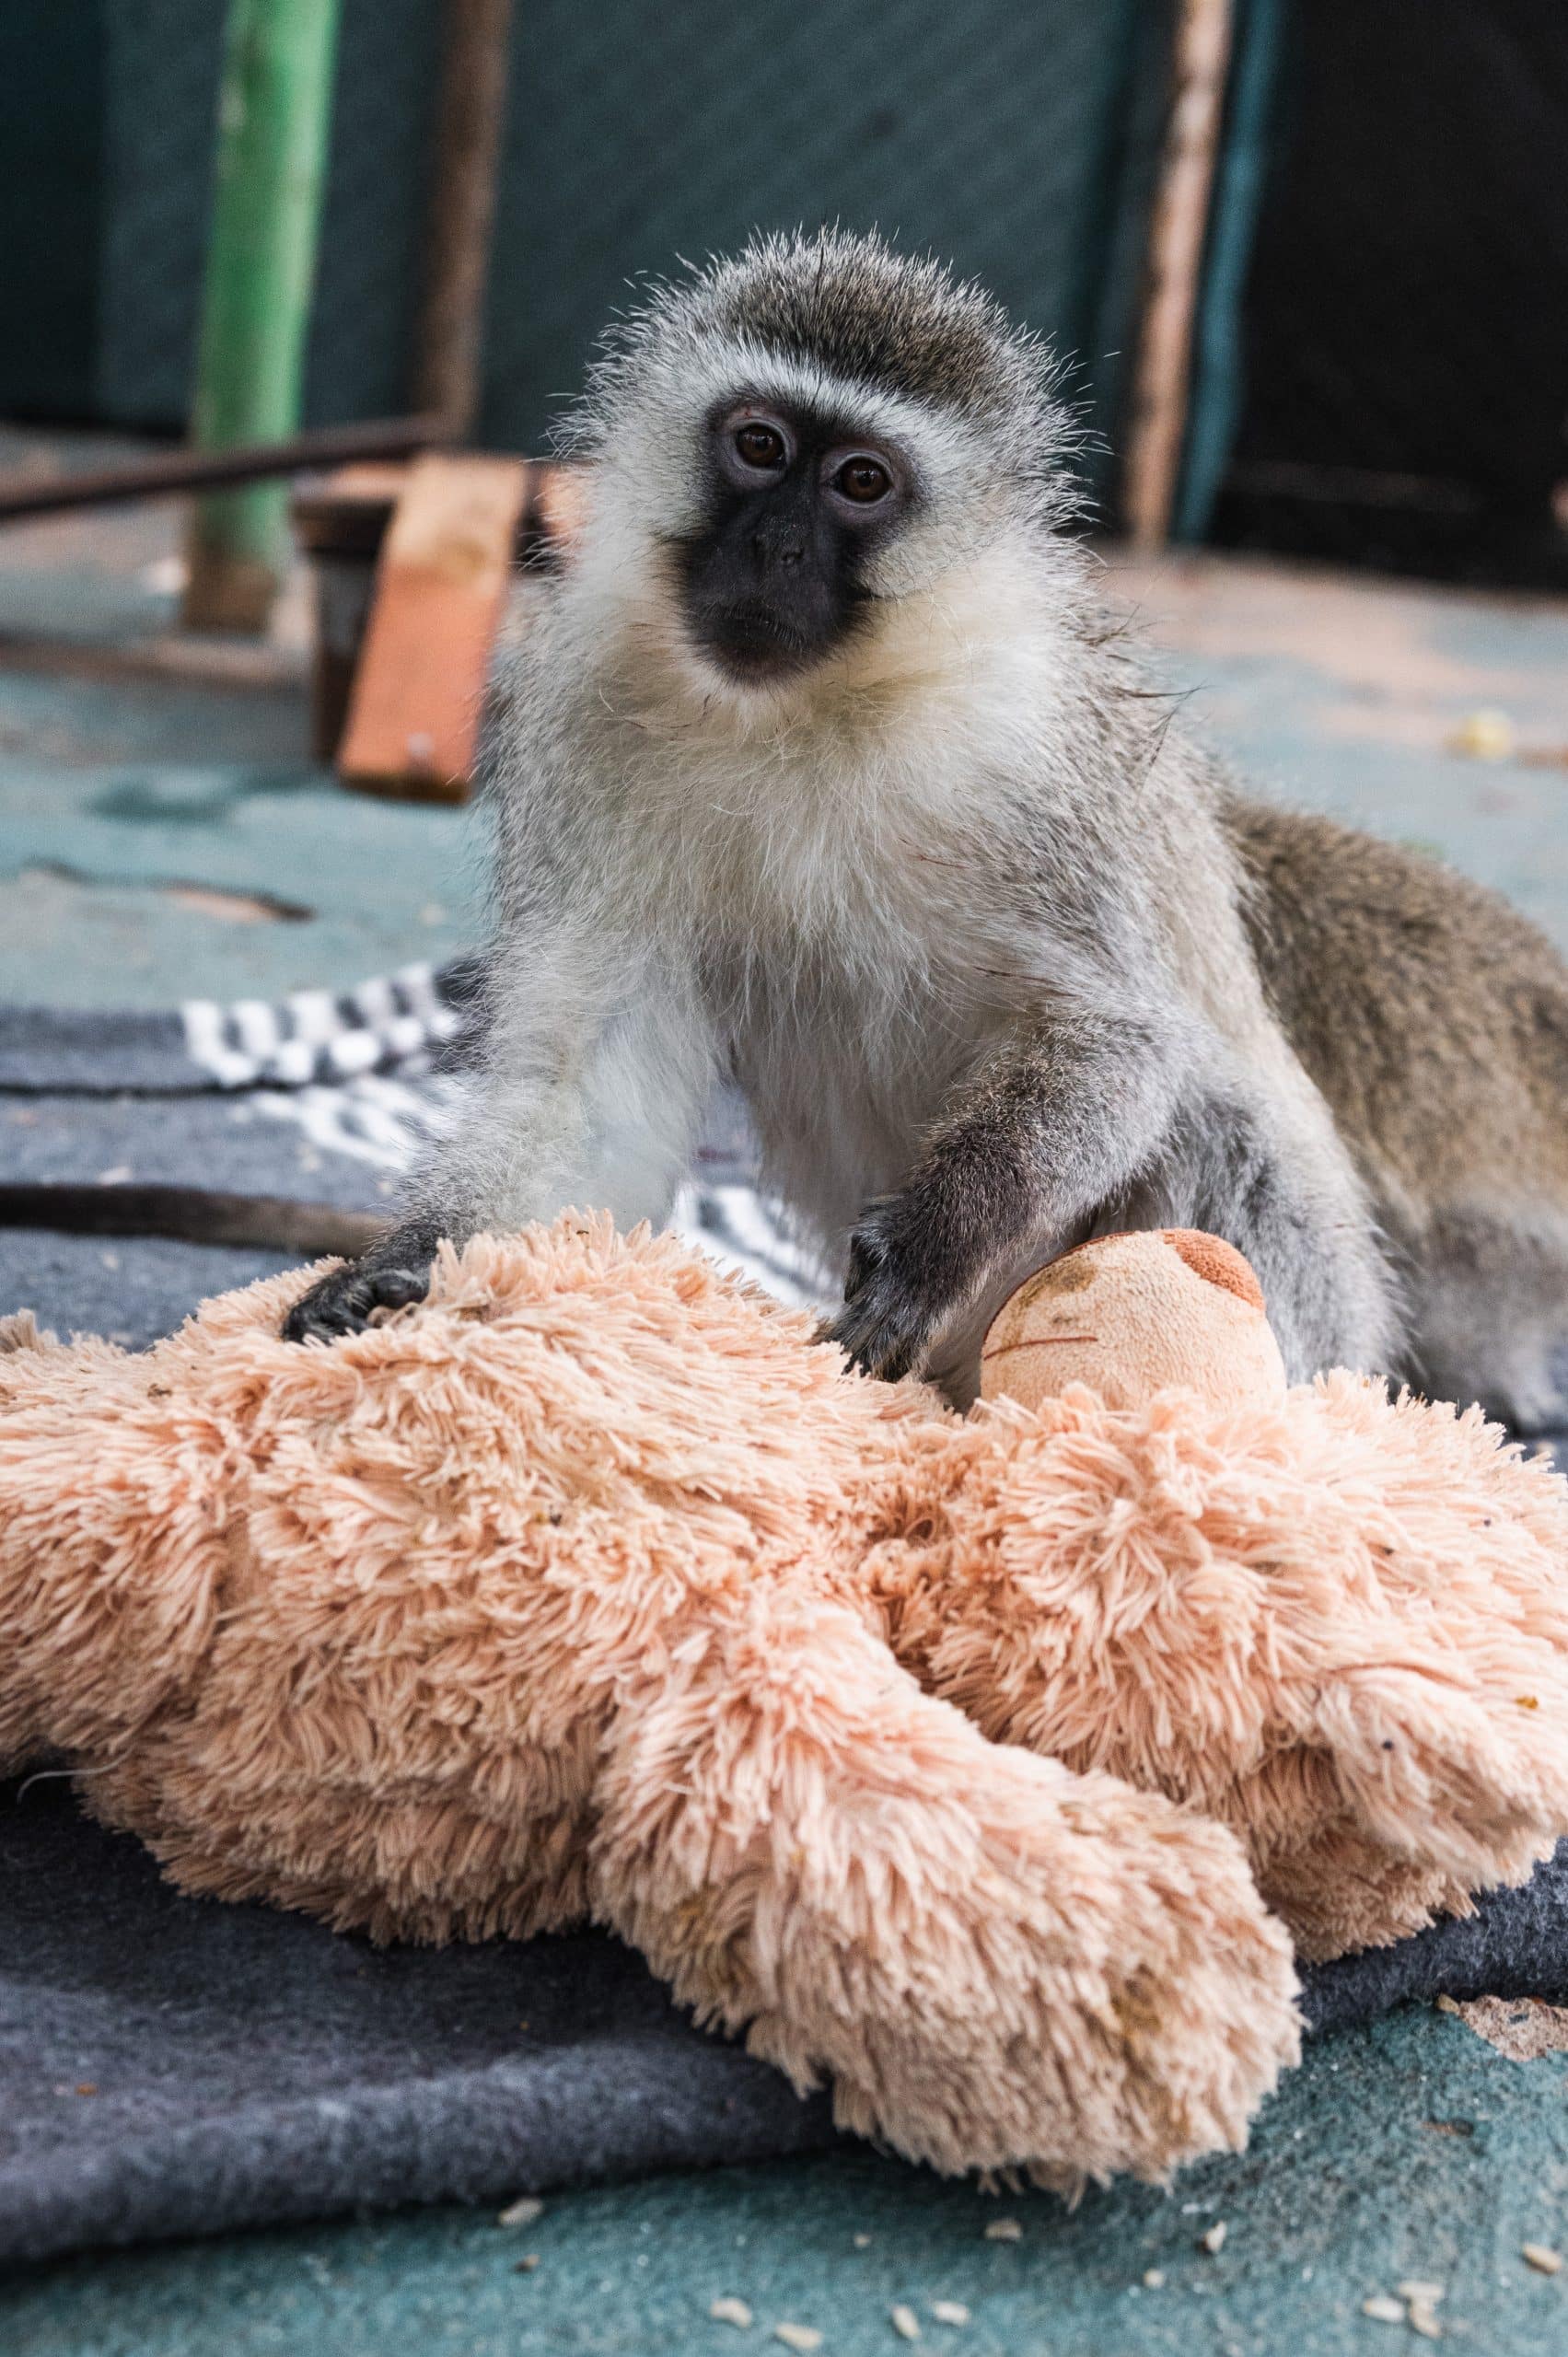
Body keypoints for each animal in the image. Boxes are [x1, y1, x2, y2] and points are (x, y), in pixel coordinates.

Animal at [274, 228, 1568, 1430]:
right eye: (758, 446)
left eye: (860, 482)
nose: (774, 548)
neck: (802, 714)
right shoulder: (578, 713)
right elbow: (585, 1082)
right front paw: (409, 1269)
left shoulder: (1038, 757)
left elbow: (1117, 1035)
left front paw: (939, 1237)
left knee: (1207, 1116)